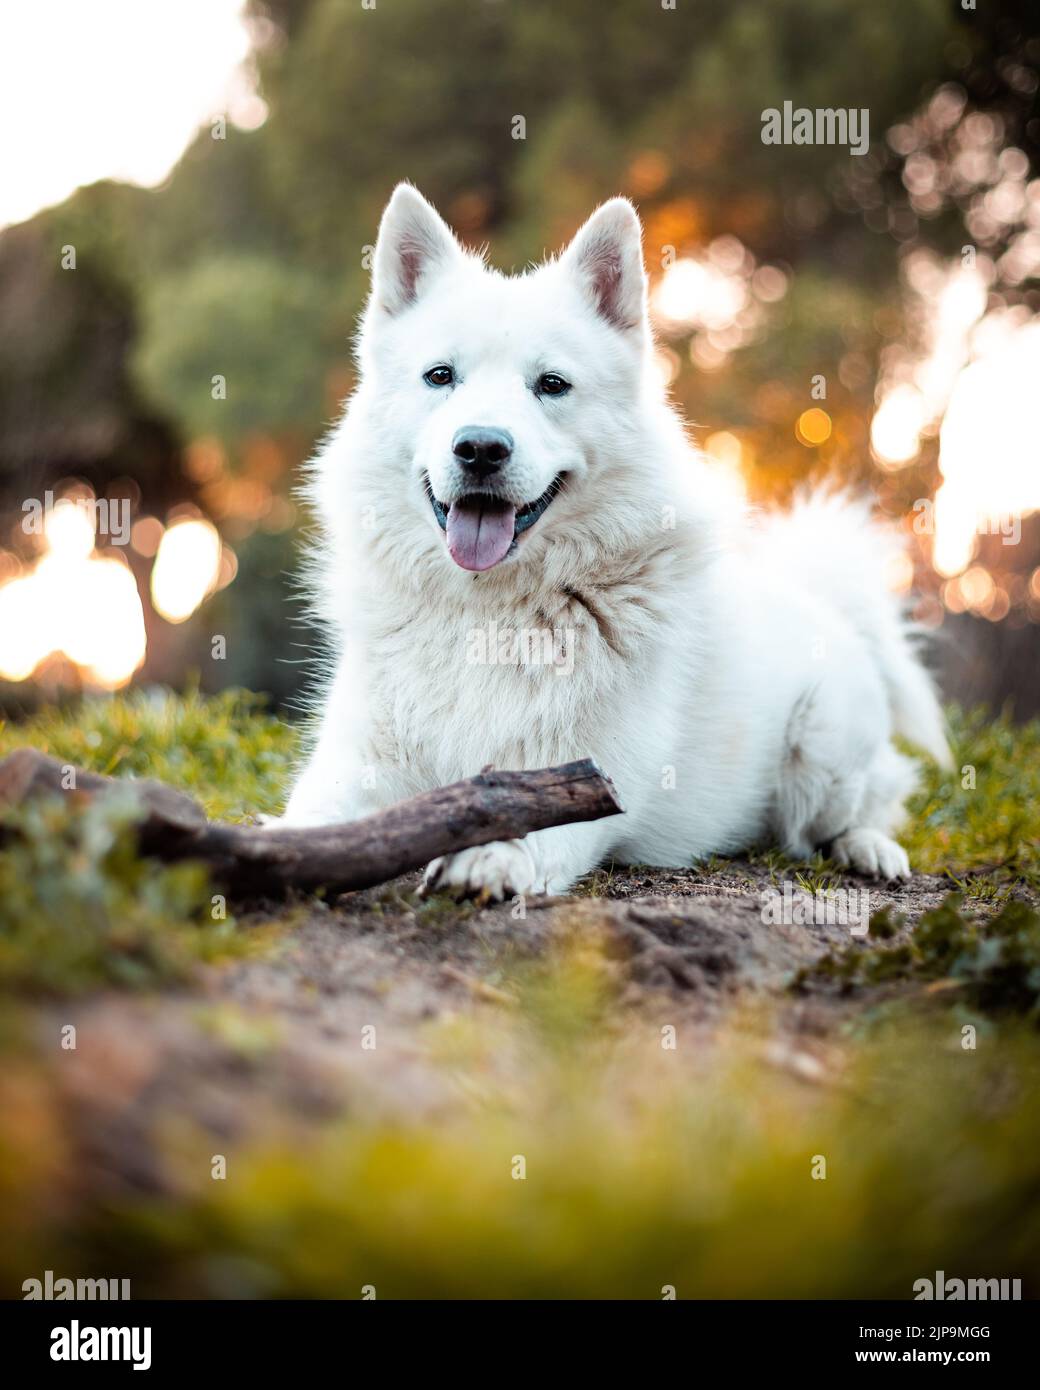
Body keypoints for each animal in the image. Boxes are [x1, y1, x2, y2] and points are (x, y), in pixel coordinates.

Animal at [285, 182, 951, 900]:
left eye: (551, 384)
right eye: (440, 376)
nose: (481, 448)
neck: (490, 610)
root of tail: (820, 601)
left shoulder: (585, 775)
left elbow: (528, 818)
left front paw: (490, 857)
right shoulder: (358, 760)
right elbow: (314, 818)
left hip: (824, 749)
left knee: (859, 810)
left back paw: (869, 849)